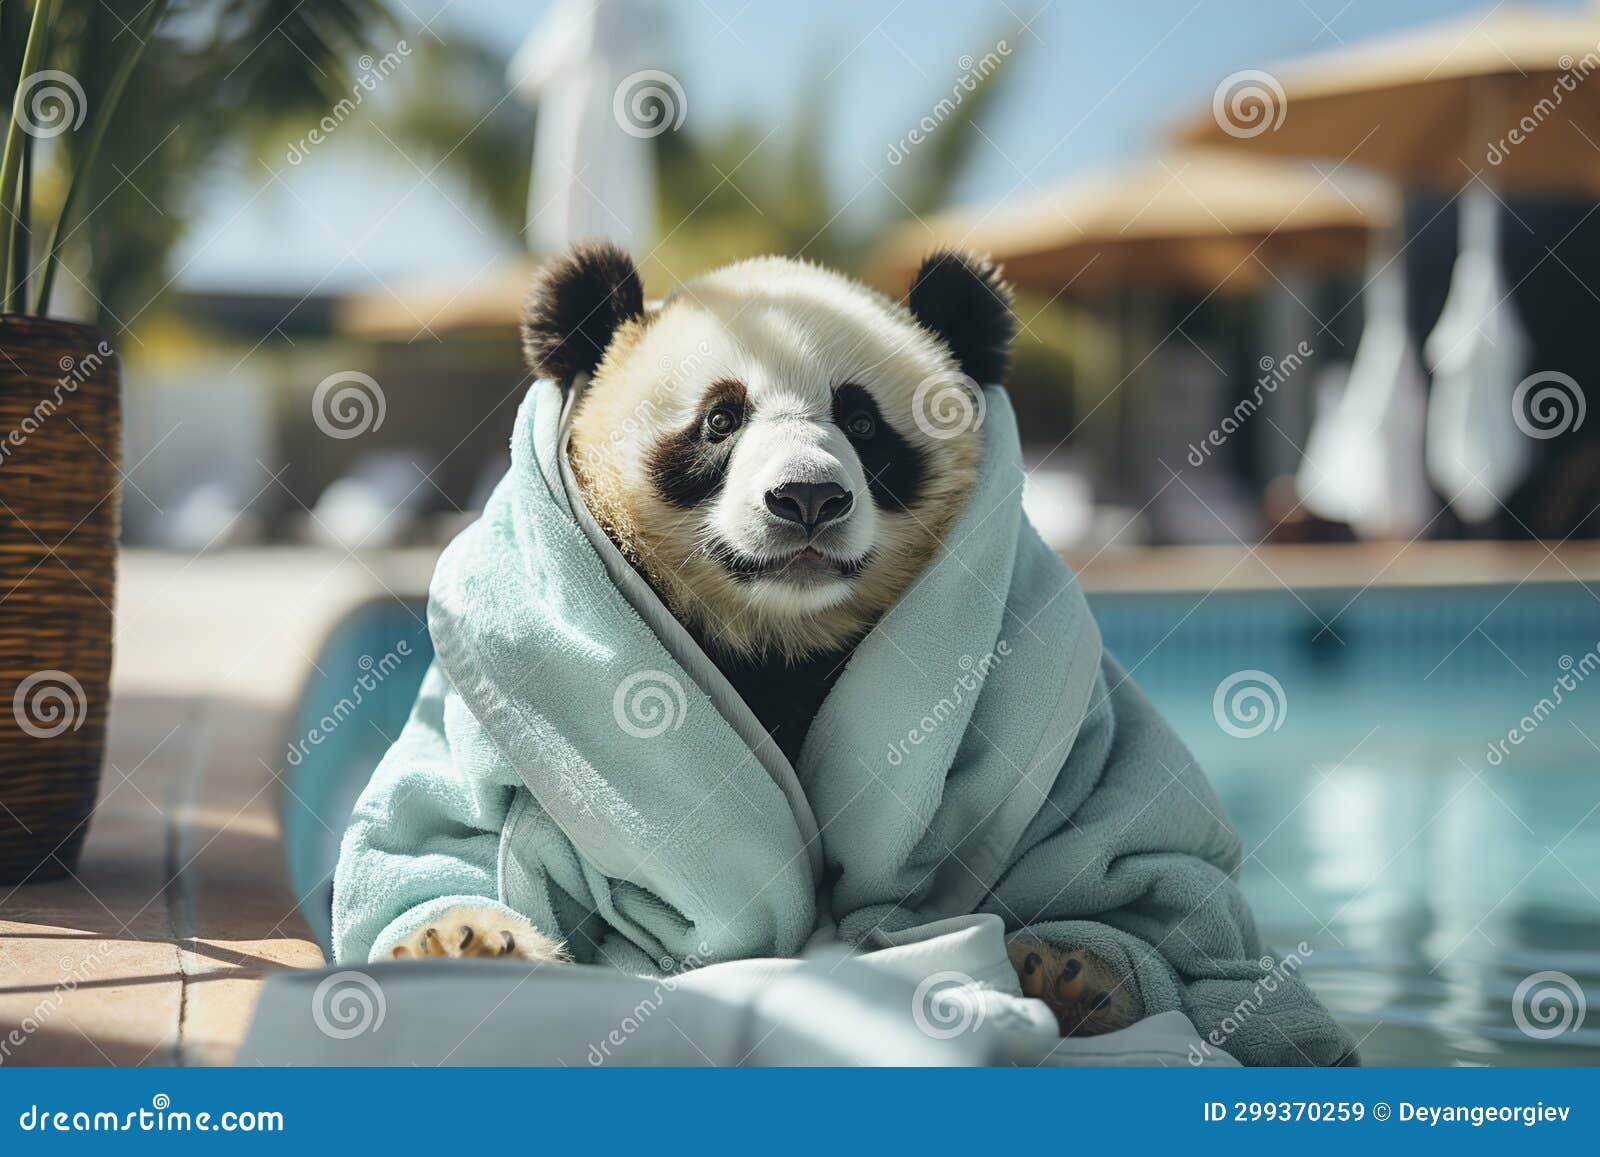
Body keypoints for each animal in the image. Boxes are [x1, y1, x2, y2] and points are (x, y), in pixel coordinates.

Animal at [391, 243, 1133, 1038]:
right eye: (721, 418)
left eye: (862, 421)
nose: (807, 497)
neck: (779, 632)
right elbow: (449, 827)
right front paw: (463, 941)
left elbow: (1090, 828)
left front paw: (1075, 973)